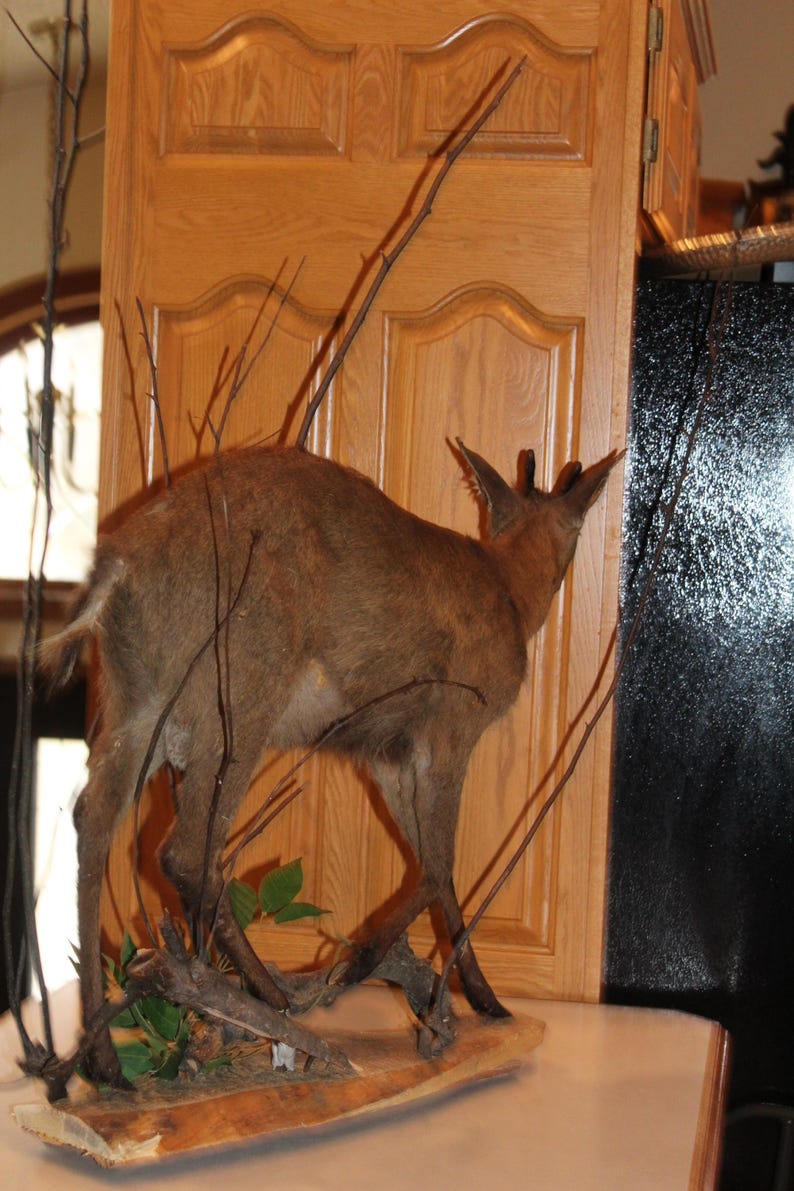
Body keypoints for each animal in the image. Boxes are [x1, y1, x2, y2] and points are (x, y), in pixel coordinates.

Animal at [40, 440, 619, 1085]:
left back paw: (102, 1060)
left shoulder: (387, 755)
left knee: (92, 821)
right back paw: (269, 1000)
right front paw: (363, 962)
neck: (509, 590)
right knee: (184, 853)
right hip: (237, 700)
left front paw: (483, 998)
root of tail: (118, 570)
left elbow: (434, 868)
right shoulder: (449, 726)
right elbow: (441, 864)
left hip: (135, 707)